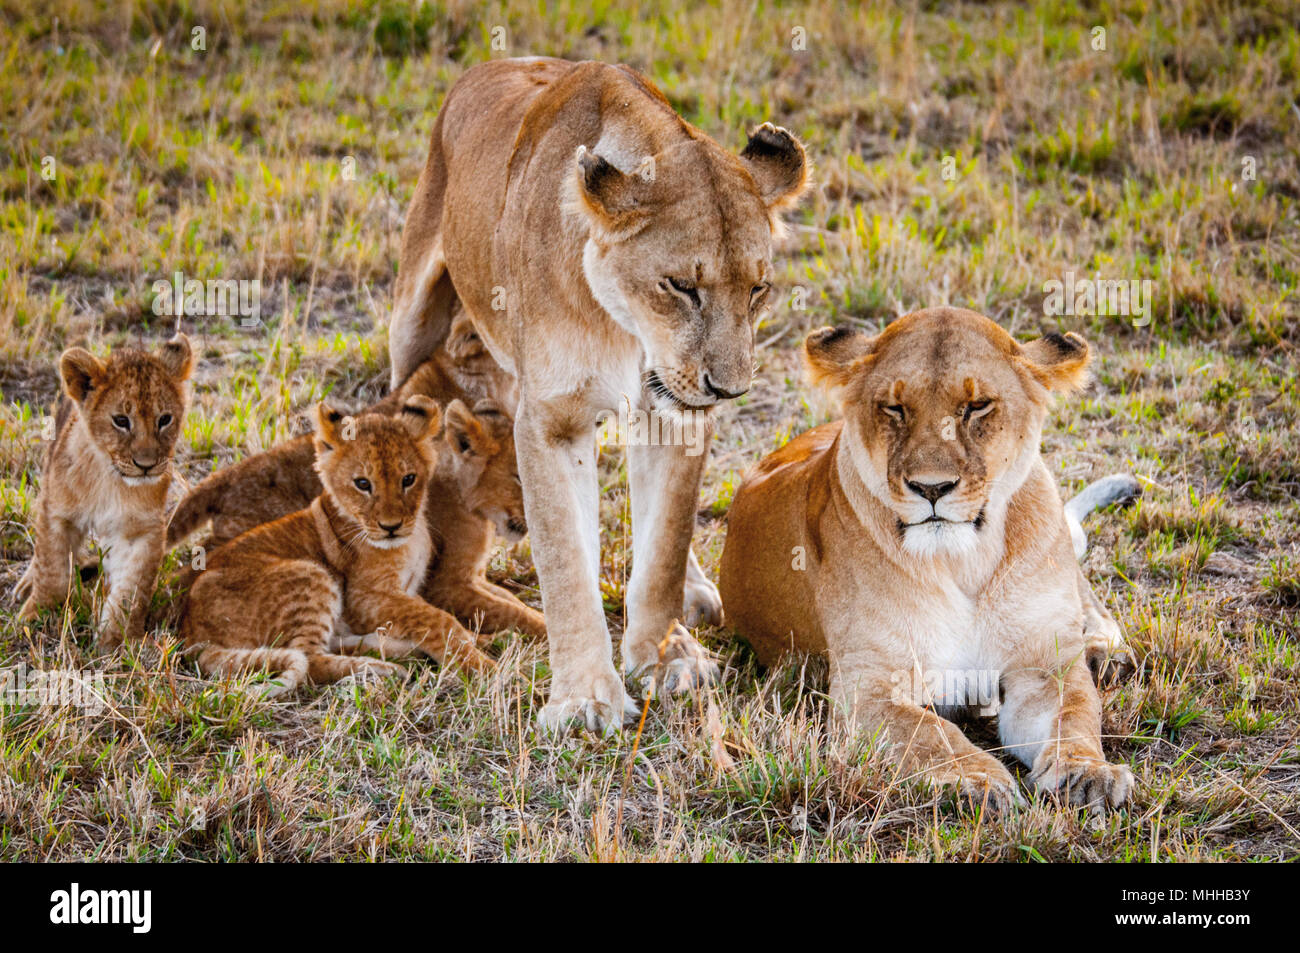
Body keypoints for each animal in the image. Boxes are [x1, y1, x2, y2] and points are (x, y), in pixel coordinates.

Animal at [17, 334, 193, 646]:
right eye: (121, 420)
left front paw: (117, 638)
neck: (110, 479)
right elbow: (51, 567)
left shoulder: (143, 530)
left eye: (165, 419)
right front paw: (37, 613)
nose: (146, 466)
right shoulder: (56, 511)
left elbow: (132, 589)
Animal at [386, 57, 809, 732]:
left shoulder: (673, 420)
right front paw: (584, 697)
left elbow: (663, 548)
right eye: (681, 286)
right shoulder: (551, 421)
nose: (730, 388)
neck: (626, 325)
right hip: (412, 317)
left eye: (758, 289)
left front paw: (665, 657)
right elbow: (565, 561)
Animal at [719, 308, 1138, 810]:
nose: (932, 488)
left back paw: (1104, 653)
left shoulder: (1043, 668)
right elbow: (932, 733)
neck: (962, 561)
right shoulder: (866, 690)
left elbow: (1074, 717)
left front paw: (1089, 773)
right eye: (894, 408)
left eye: (977, 406)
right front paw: (980, 781)